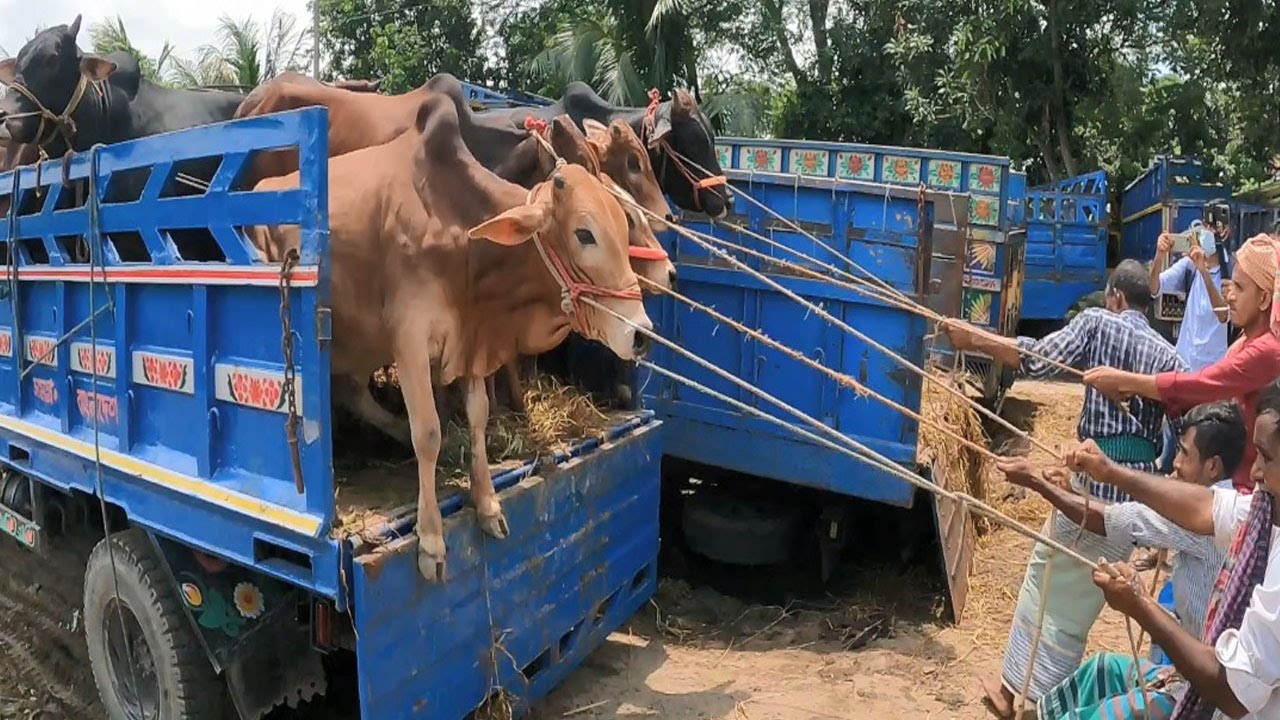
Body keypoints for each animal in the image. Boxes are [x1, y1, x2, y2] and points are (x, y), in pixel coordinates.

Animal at [248, 92, 652, 581]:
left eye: (624, 224)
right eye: (584, 233)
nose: (641, 334)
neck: (459, 231)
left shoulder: (471, 342)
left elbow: (477, 415)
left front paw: (488, 503)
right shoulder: (408, 337)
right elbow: (427, 432)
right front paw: (431, 541)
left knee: (352, 391)